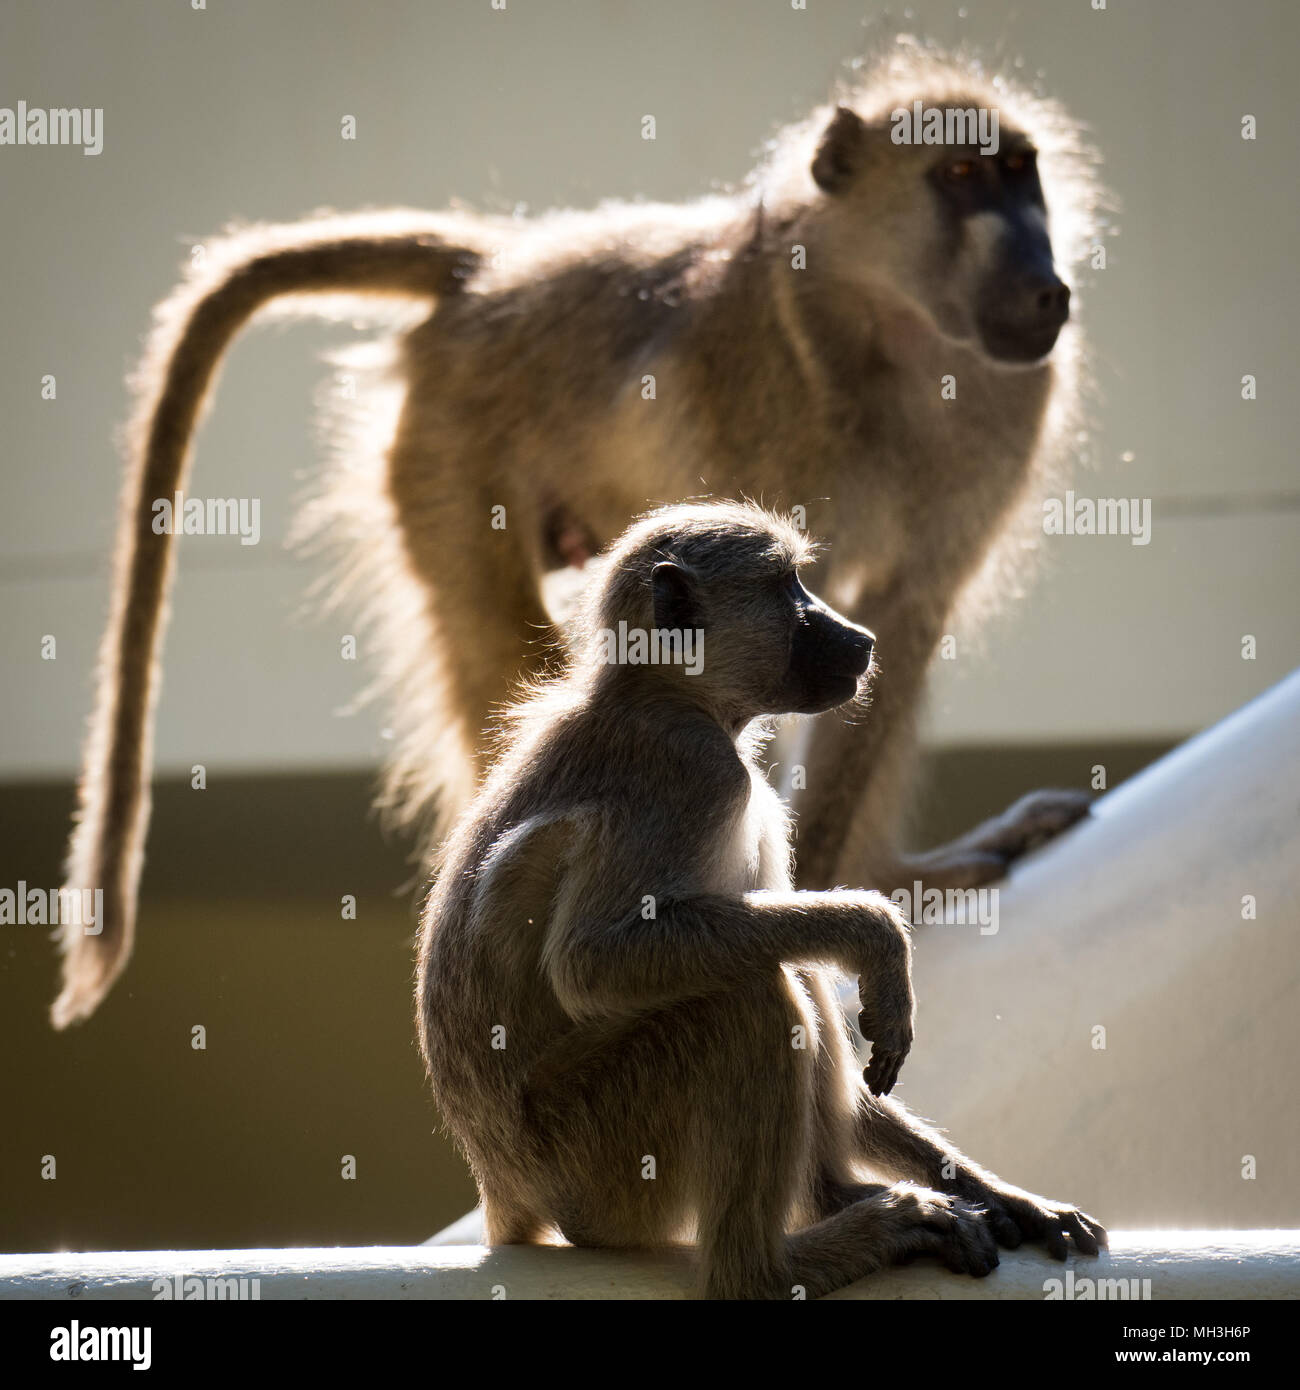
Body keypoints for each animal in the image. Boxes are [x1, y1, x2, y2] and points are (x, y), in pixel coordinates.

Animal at [54, 40, 1103, 1026]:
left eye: (1020, 171)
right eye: (959, 176)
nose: (1044, 286)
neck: (893, 330)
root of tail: (494, 272)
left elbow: (901, 619)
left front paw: (875, 883)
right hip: (445, 458)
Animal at [417, 500, 1105, 1300]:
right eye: (787, 589)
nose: (860, 639)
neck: (666, 693)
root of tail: (504, 1187)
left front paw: (1005, 1198)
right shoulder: (697, 770)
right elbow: (591, 963)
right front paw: (876, 934)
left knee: (776, 963)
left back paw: (840, 1198)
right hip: (600, 1172)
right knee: (742, 1002)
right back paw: (775, 1267)